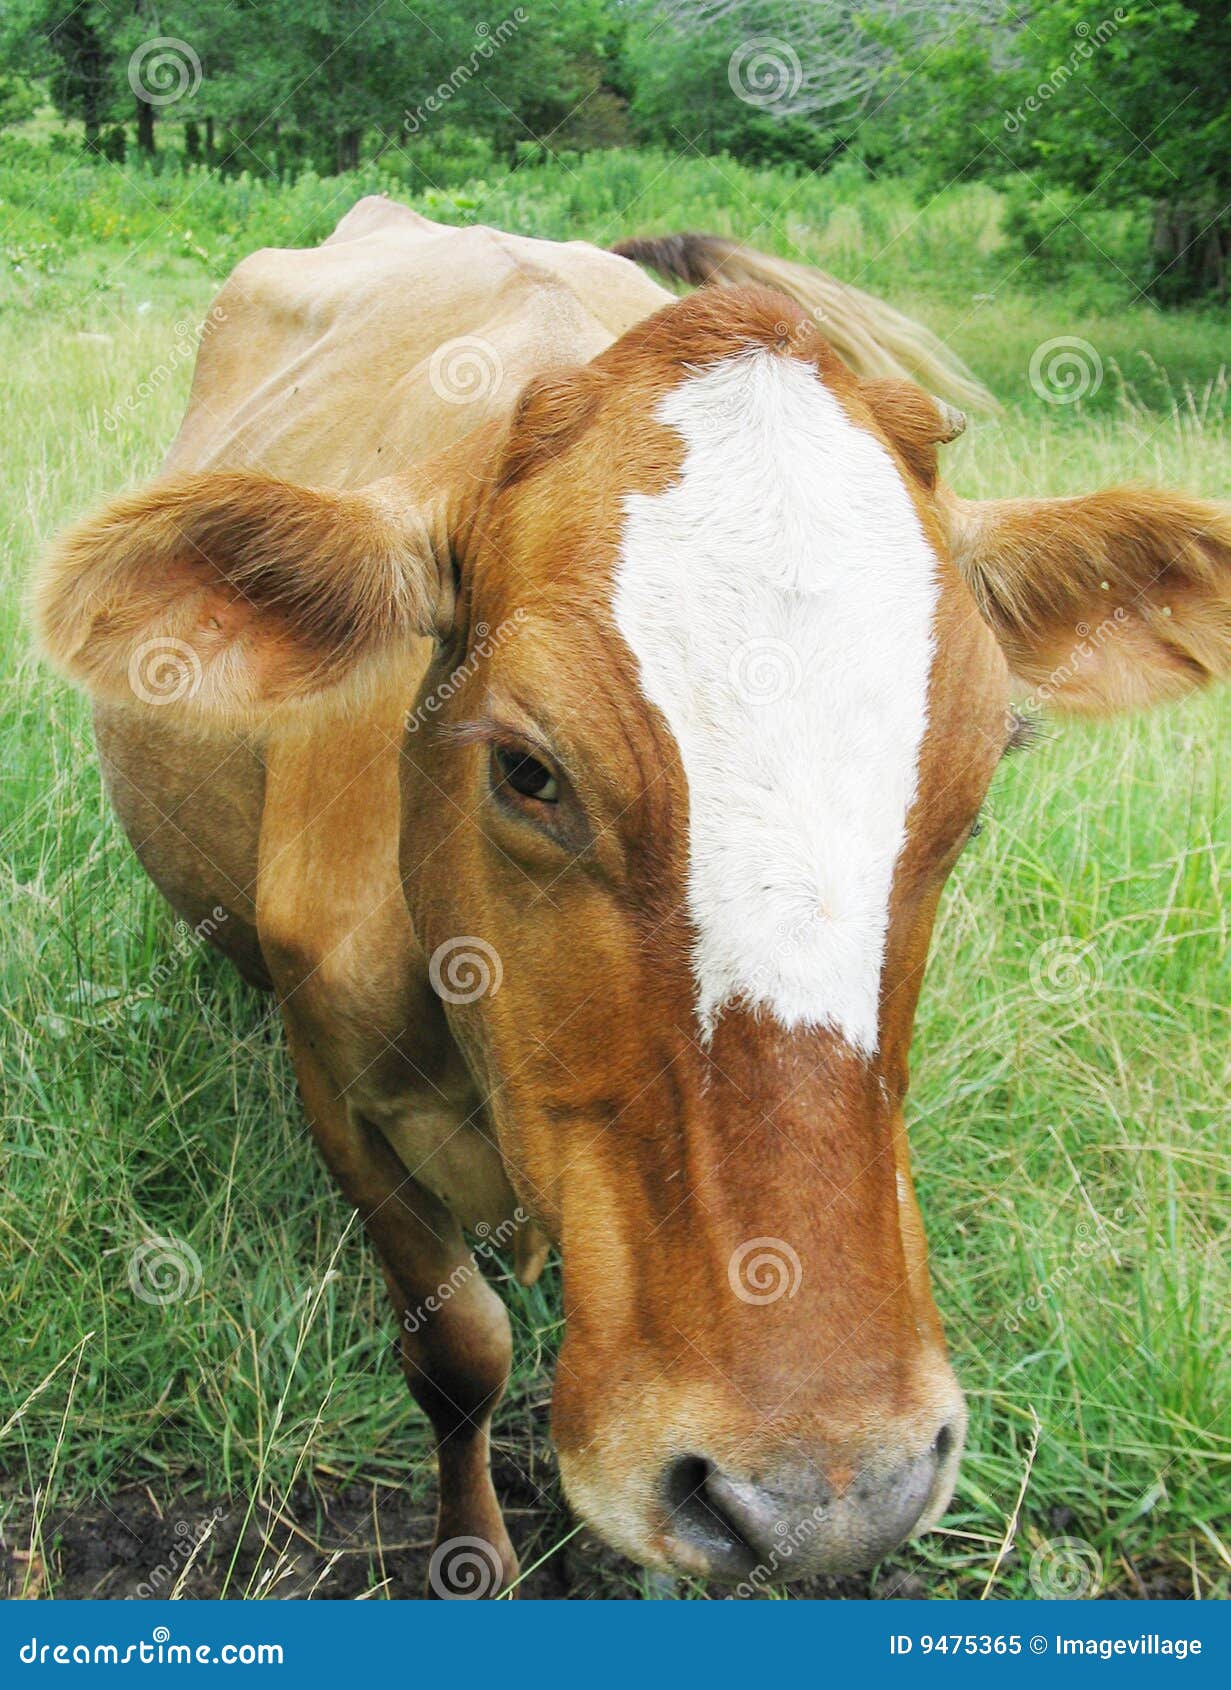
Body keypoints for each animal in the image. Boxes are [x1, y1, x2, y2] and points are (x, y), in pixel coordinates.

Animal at [35, 199, 1231, 1596]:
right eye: (527, 767)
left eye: (981, 777)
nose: (823, 1490)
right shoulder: (338, 1087)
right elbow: (459, 1354)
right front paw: (471, 1551)